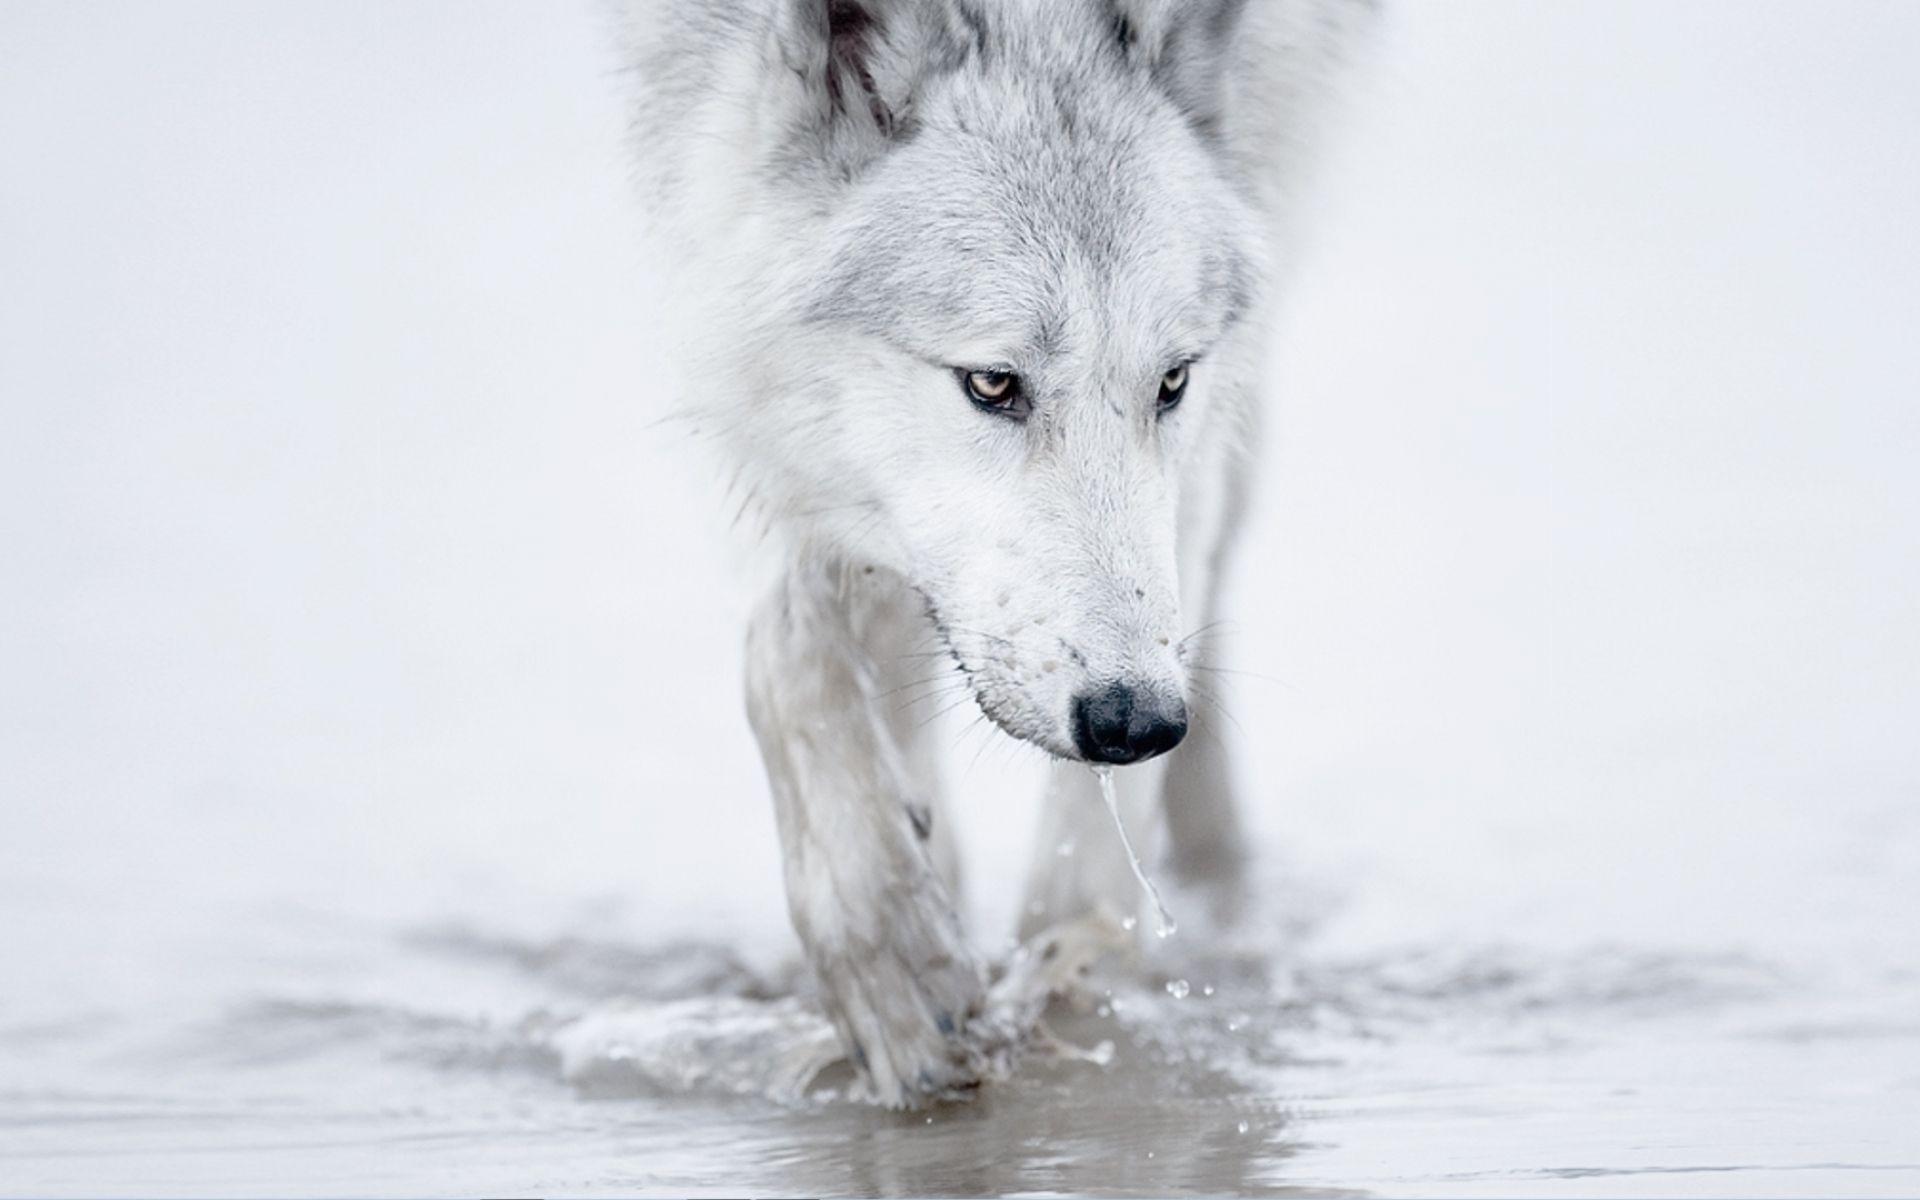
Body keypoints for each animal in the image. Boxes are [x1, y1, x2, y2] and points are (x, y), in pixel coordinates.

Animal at [617, 0, 1373, 1107]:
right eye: (991, 383)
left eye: (1172, 381)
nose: (1137, 720)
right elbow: (789, 654)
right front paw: (896, 962)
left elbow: (1089, 851)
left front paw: (1067, 988)